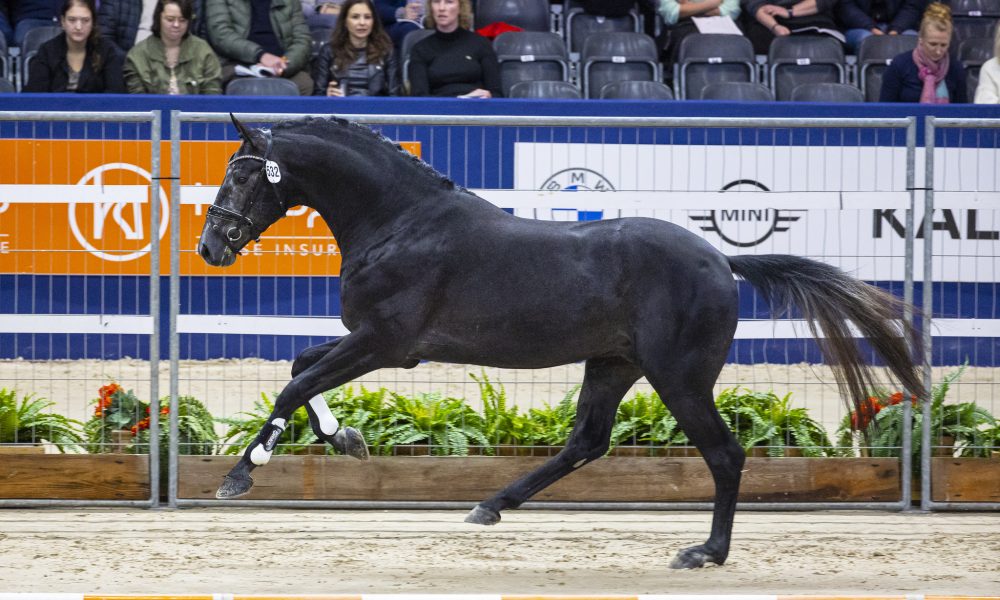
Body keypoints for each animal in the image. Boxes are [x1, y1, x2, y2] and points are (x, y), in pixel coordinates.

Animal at [197, 114, 925, 569]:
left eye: (242, 173)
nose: (210, 247)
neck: (401, 222)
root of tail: (721, 260)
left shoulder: (387, 344)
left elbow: (294, 382)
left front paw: (240, 475)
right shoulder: (374, 343)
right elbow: (299, 367)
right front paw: (344, 437)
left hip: (679, 377)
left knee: (724, 455)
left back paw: (704, 553)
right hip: (612, 365)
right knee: (587, 443)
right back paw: (490, 506)